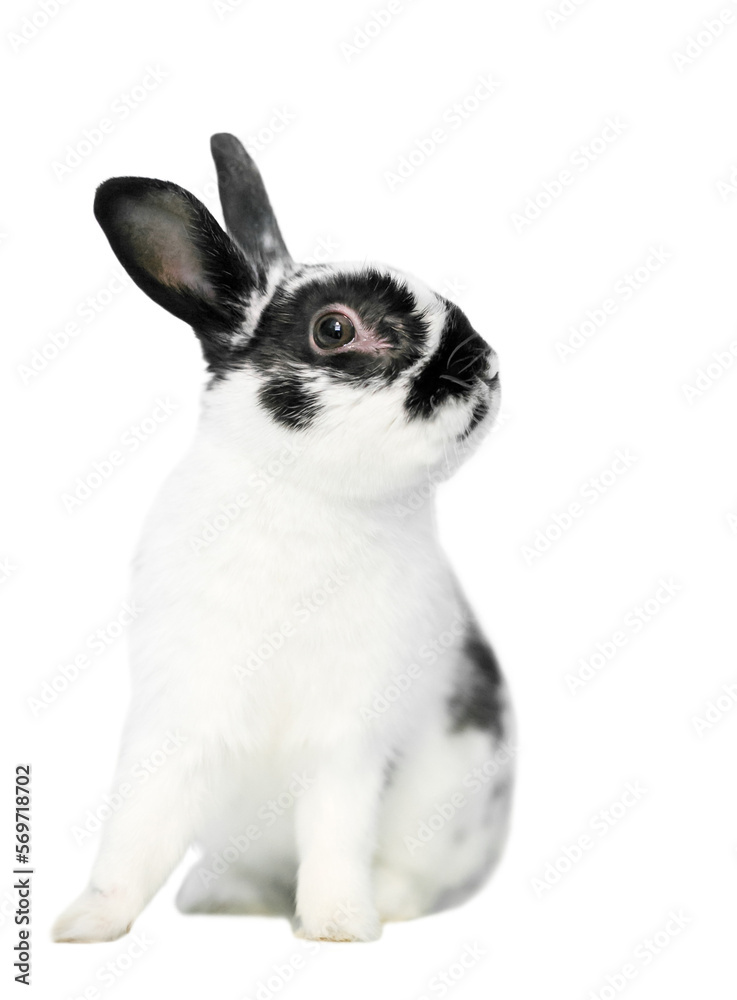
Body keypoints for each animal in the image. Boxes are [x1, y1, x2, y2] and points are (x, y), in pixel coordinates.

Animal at [52, 132, 514, 944]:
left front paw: (339, 927)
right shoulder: (177, 719)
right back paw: (221, 897)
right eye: (334, 329)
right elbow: (135, 833)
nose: (487, 364)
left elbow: (335, 835)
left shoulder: (347, 742)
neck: (307, 499)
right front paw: (84, 925)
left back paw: (385, 902)